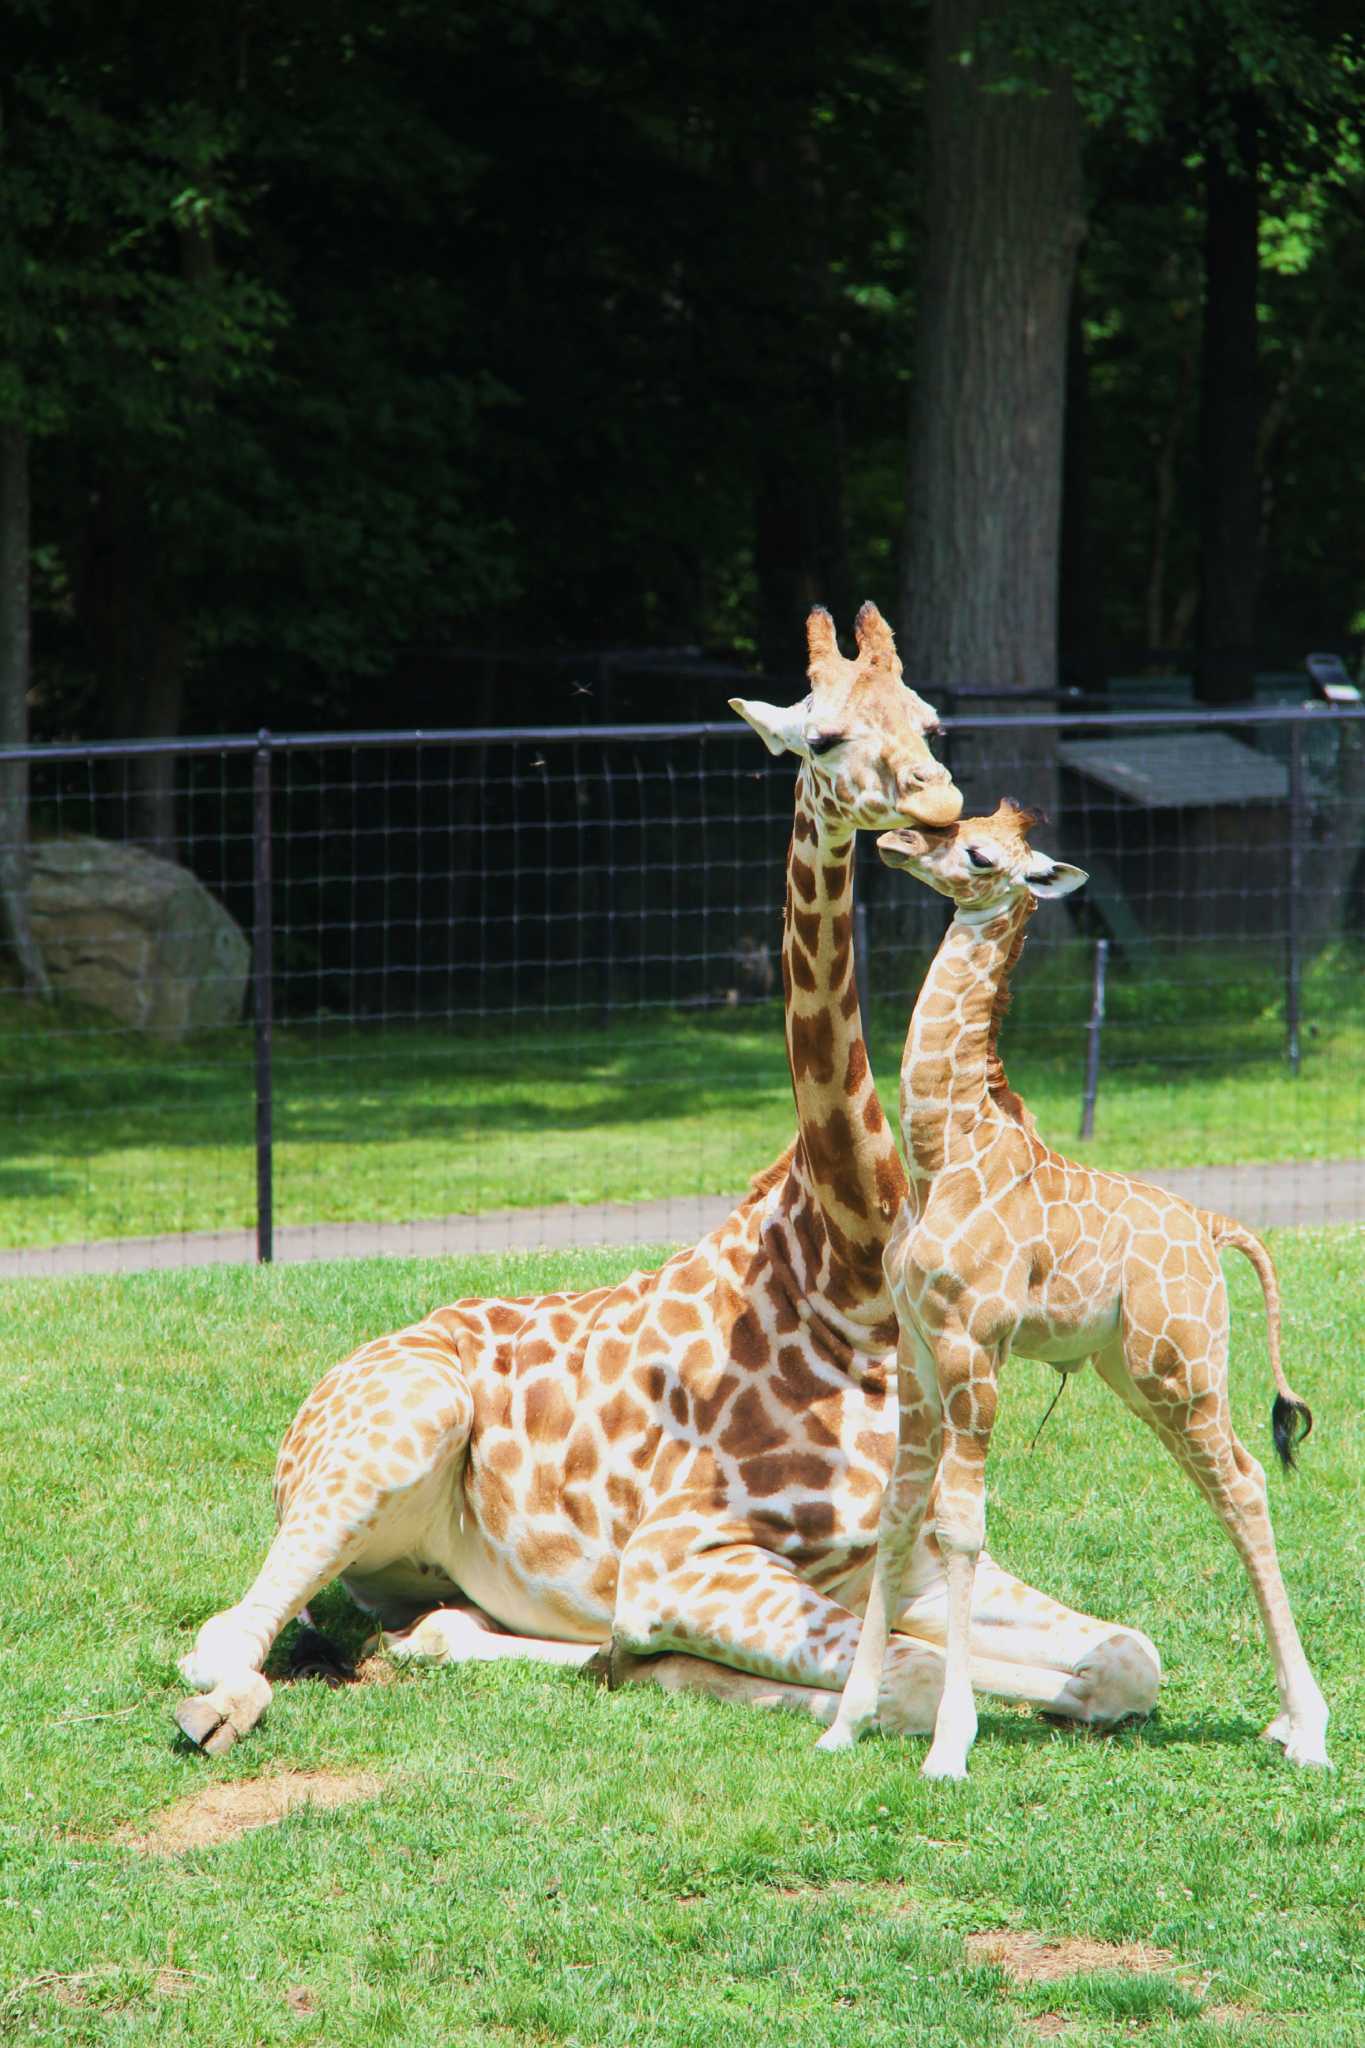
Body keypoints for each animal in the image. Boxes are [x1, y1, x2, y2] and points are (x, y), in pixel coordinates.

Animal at [174, 612, 1158, 1757]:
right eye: (825, 735)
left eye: (926, 718)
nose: (933, 799)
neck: (850, 1275)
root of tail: (324, 1389)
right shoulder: (680, 1557)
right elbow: (906, 1678)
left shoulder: (896, 1559)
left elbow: (1124, 1657)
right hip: (391, 1430)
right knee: (223, 1636)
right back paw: (226, 1705)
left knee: (433, 1629)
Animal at [818, 801, 1330, 1777]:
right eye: (953, 820)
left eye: (978, 852)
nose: (896, 840)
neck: (942, 1154)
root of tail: (1215, 1229)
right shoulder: (914, 1354)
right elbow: (897, 1520)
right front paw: (844, 1723)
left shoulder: (972, 1347)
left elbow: (960, 1528)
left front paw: (950, 1746)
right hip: (1132, 1373)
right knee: (1236, 1484)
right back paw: (1286, 1722)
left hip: (1179, 1368)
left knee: (1244, 1488)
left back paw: (1312, 1732)